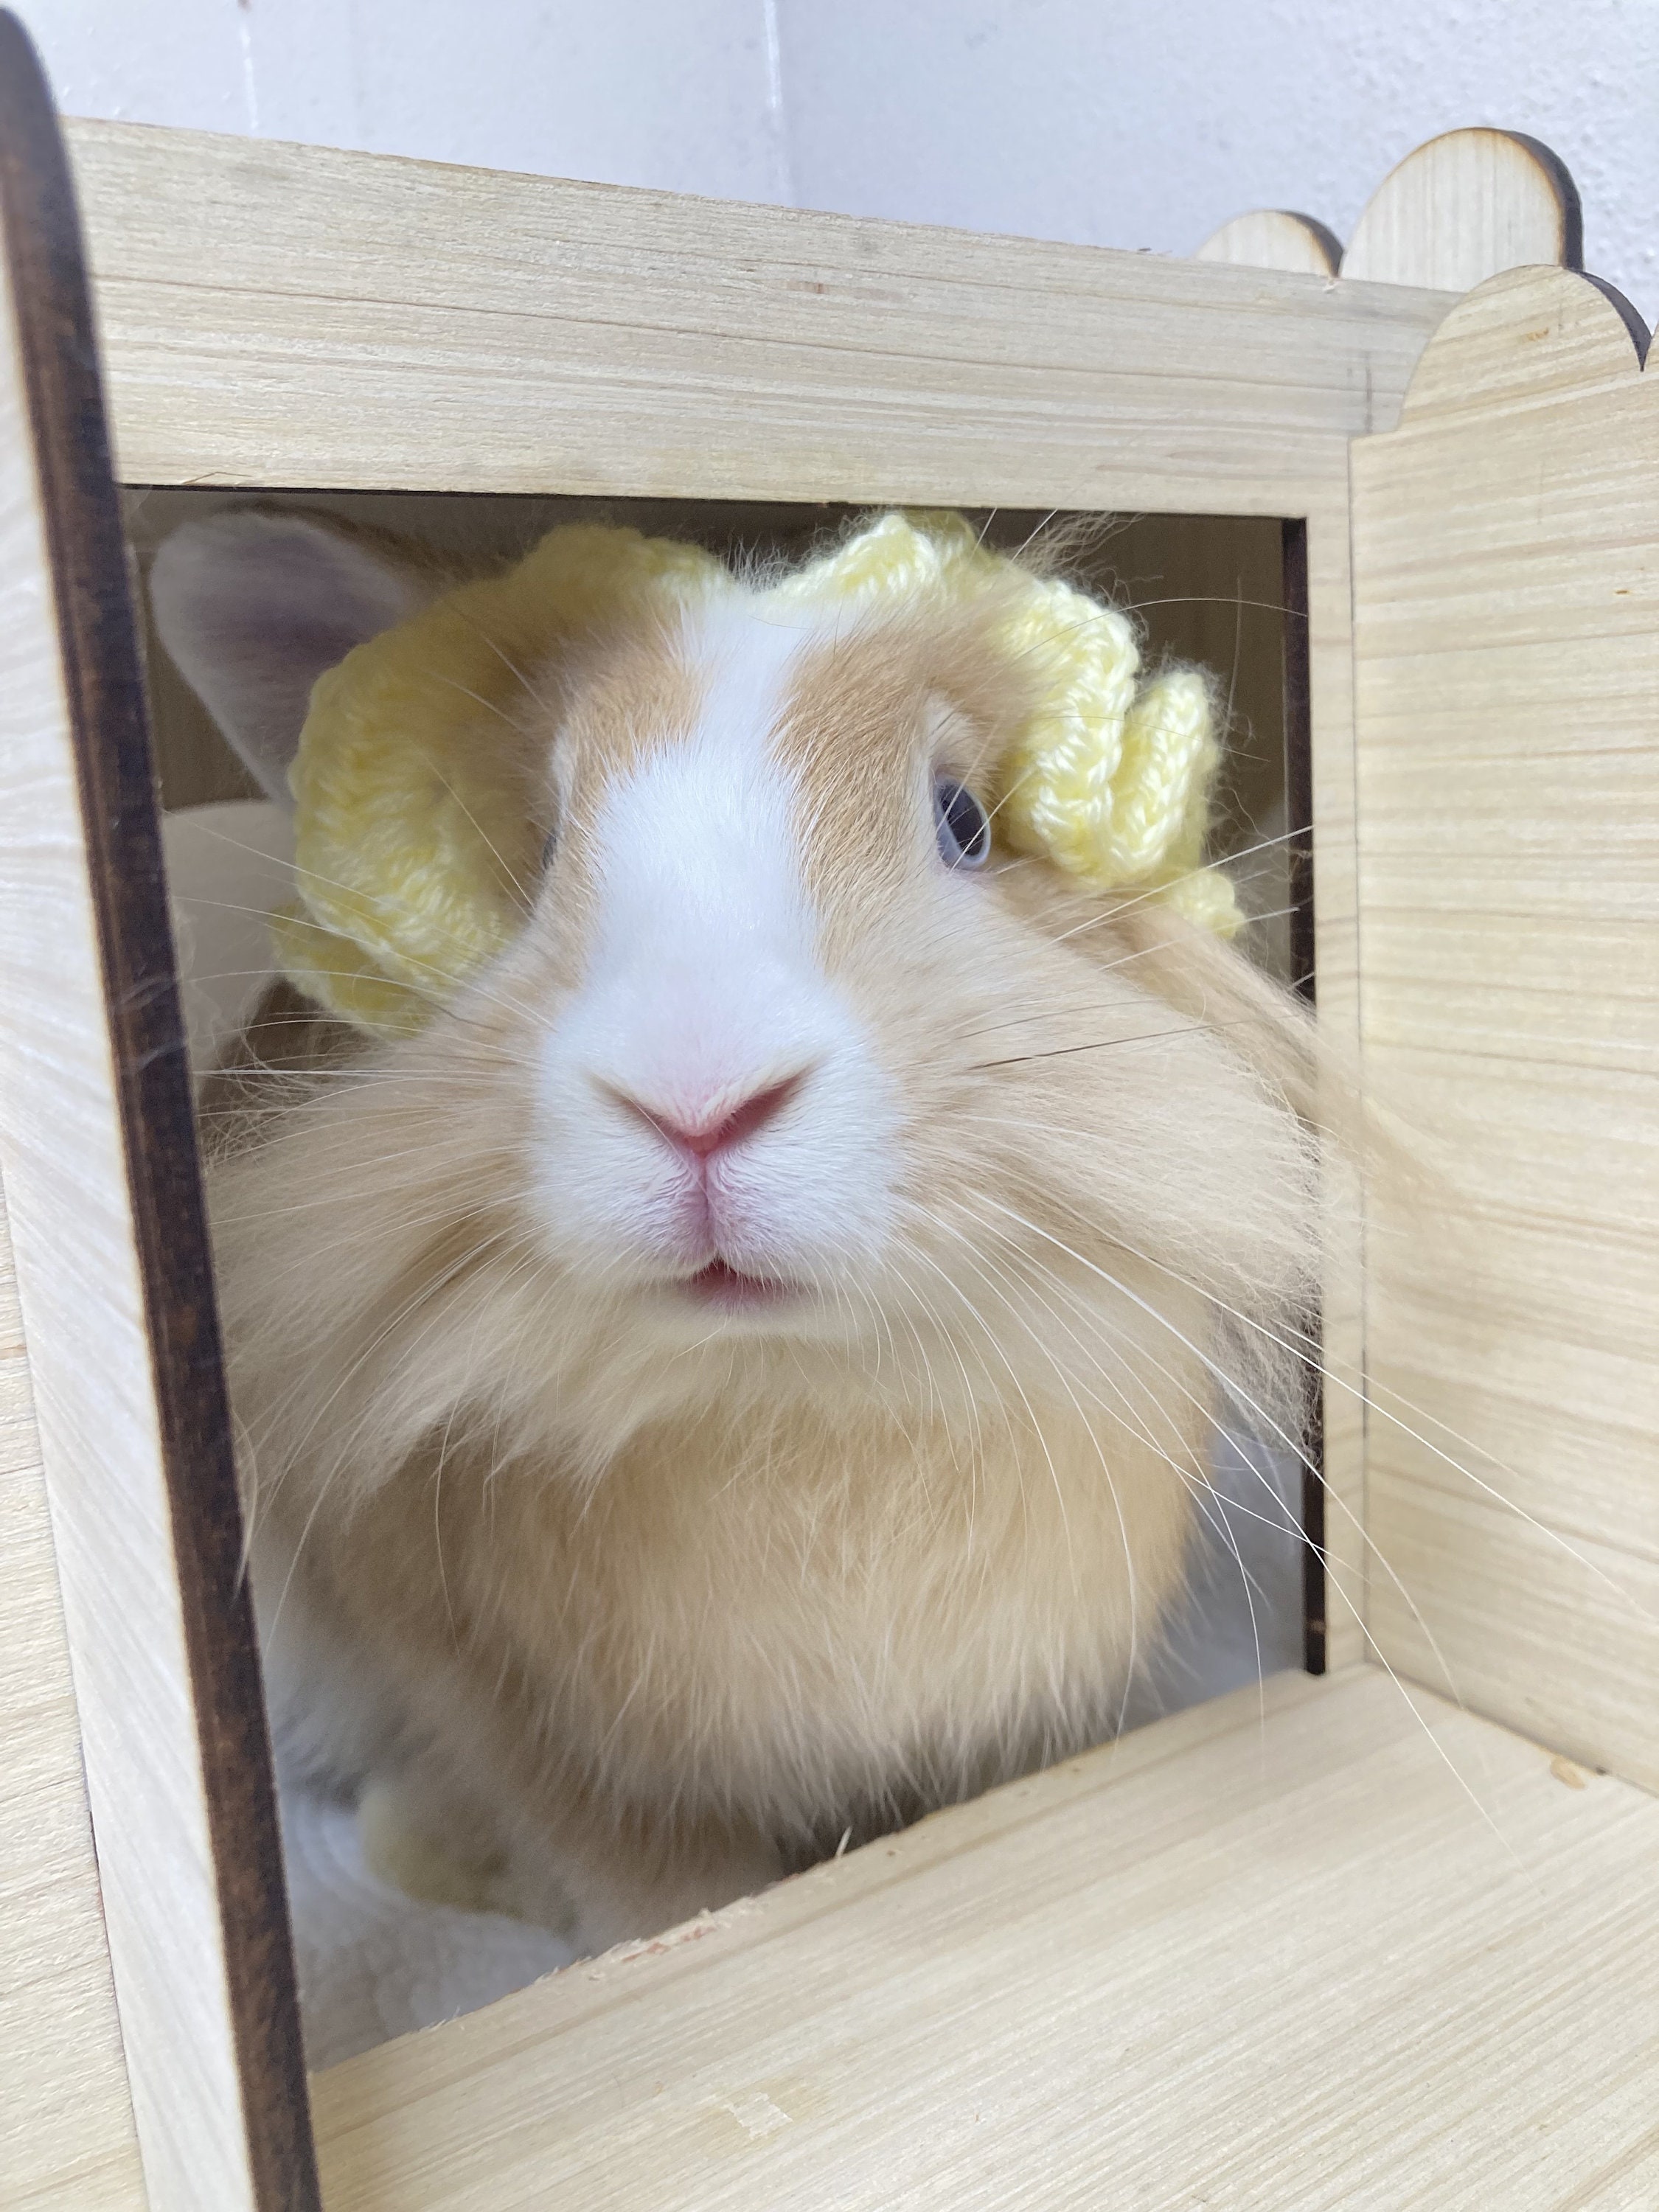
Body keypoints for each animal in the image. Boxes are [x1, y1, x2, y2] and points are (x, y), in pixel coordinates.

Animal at [151, 506, 1322, 1952]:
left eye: (963, 819)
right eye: (538, 846)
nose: (698, 1099)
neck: (785, 1386)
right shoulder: (488, 1692)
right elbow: (651, 1881)